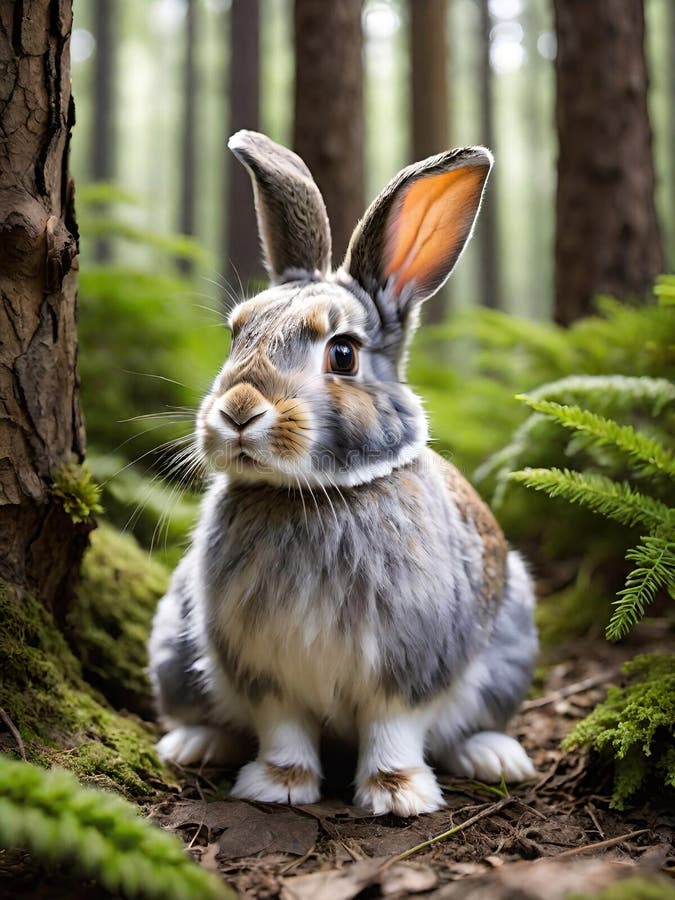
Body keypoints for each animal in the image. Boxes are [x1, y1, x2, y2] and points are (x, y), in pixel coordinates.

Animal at [148, 130, 538, 817]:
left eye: (344, 353)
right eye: (235, 334)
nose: (238, 411)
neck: (315, 495)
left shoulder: (407, 669)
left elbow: (394, 729)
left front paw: (397, 795)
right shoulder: (267, 674)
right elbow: (283, 727)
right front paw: (278, 786)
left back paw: (495, 756)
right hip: (175, 641)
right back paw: (193, 743)